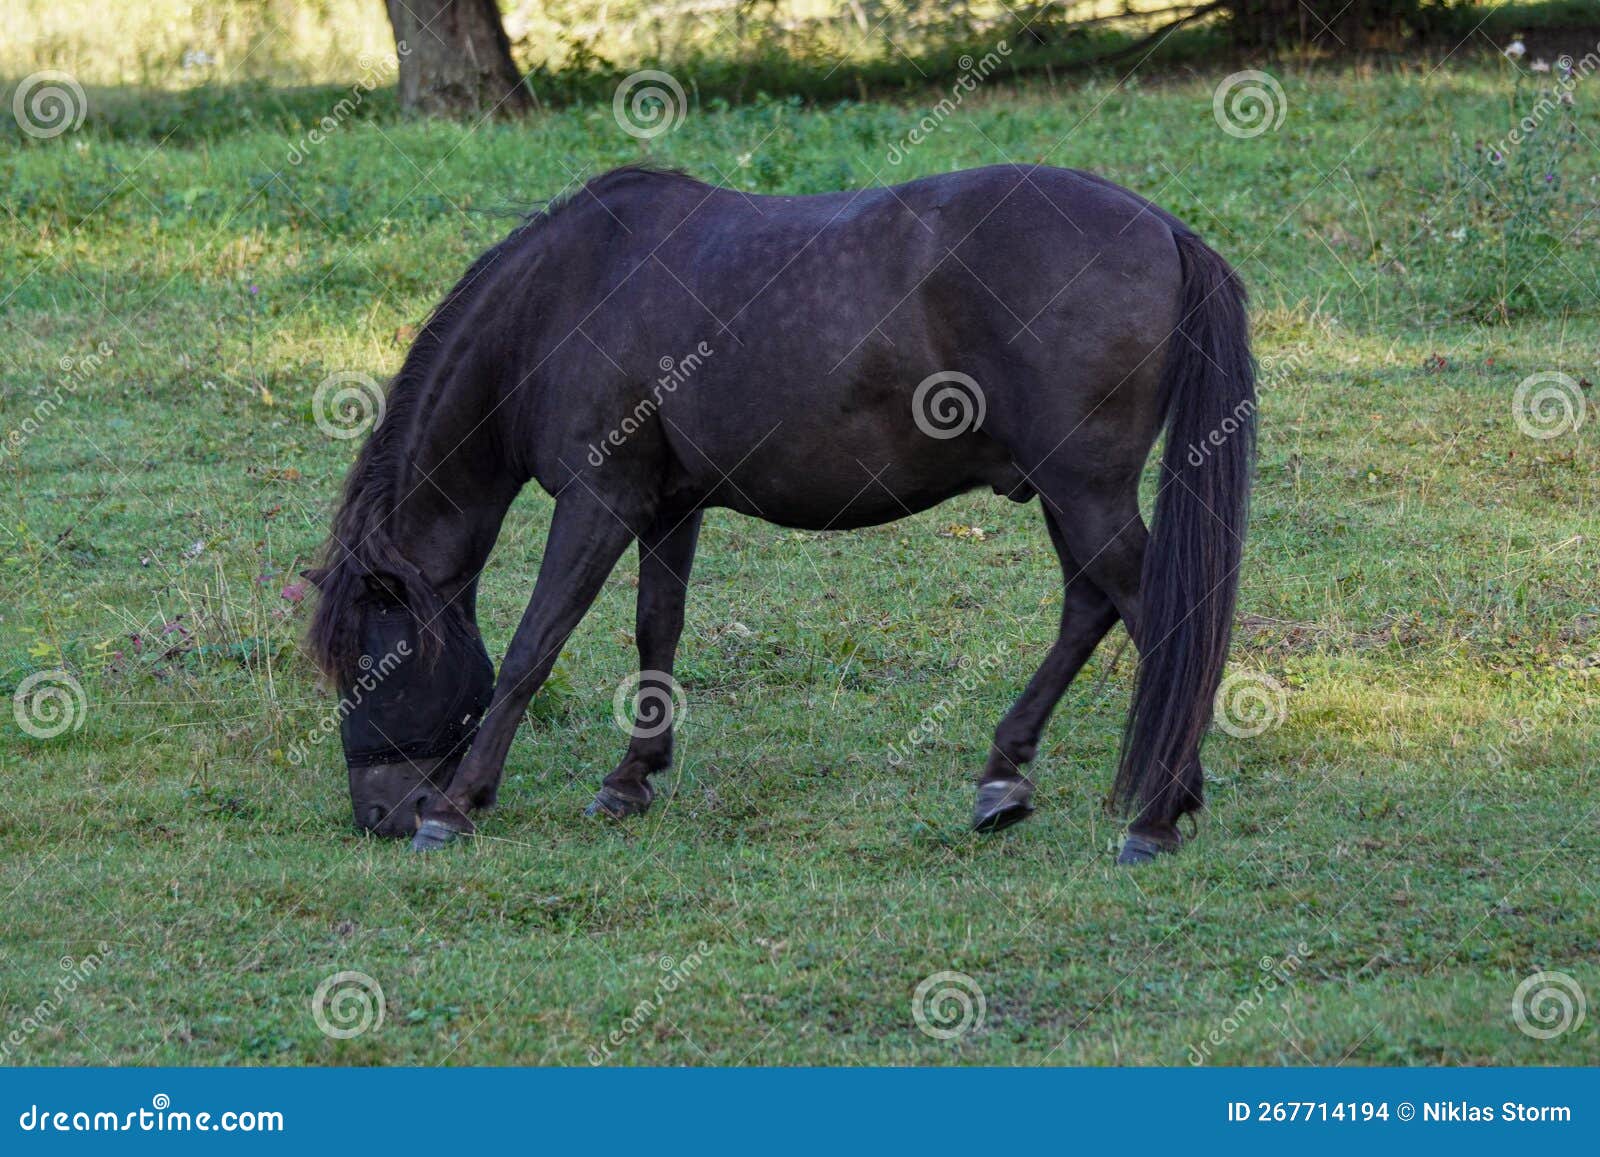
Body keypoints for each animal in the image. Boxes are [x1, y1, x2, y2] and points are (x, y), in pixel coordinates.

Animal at [304, 164, 1255, 864]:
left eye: (373, 661)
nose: (380, 814)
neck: (565, 298)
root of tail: (1162, 229)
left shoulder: (598, 501)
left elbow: (536, 644)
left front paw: (460, 803)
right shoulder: (668, 507)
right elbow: (657, 627)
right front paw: (633, 775)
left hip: (1083, 490)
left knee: (1147, 607)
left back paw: (1157, 813)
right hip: (1069, 492)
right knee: (1094, 604)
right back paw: (1007, 777)